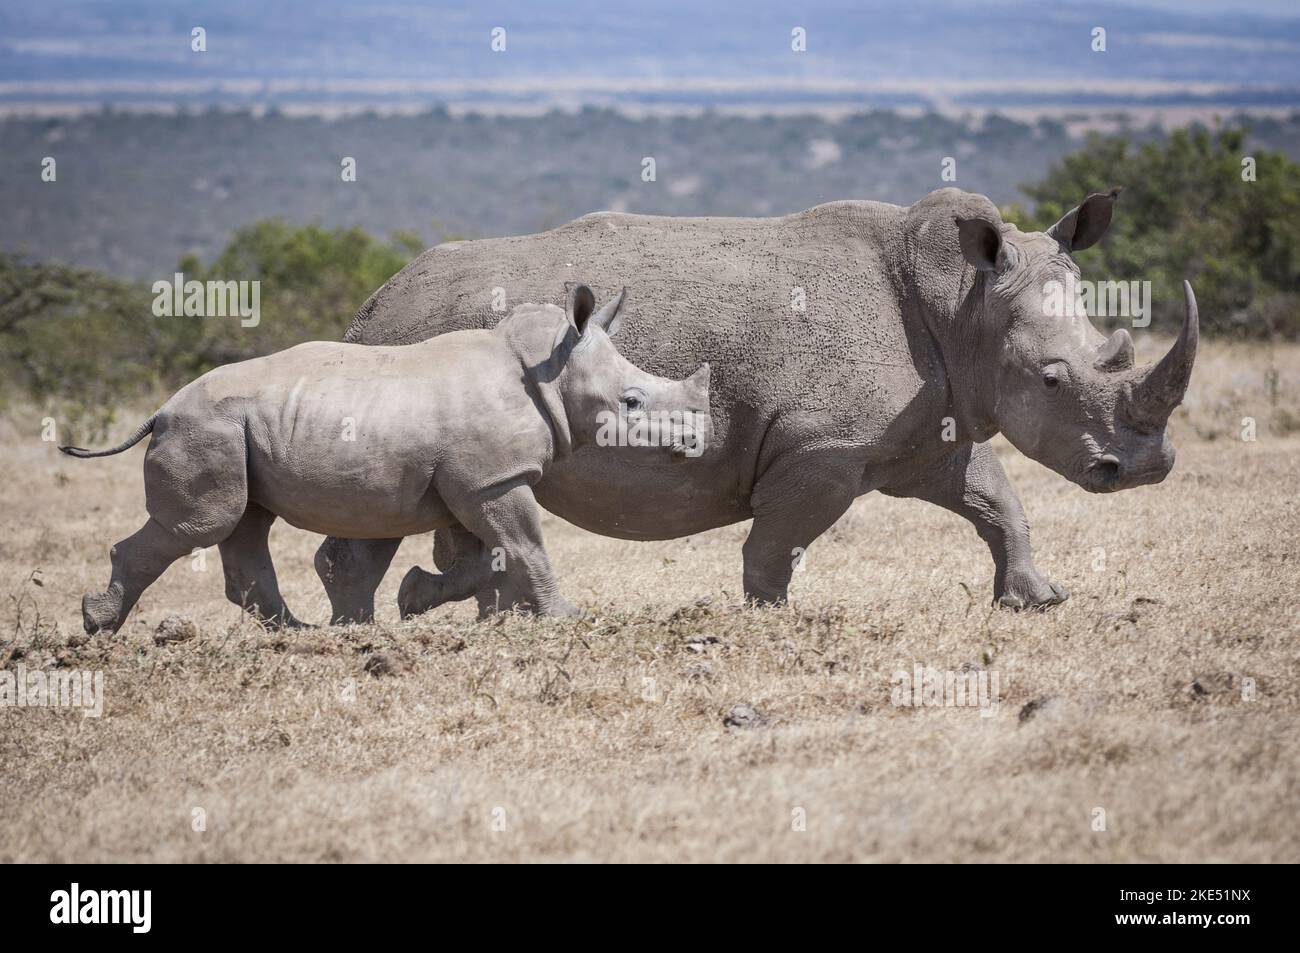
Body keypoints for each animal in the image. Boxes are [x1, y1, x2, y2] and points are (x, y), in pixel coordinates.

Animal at [60, 284, 710, 632]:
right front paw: (566, 617)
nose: (696, 442)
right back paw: (98, 624)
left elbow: (490, 555)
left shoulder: (475, 480)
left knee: (245, 522)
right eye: (631, 402)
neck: (551, 368)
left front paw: (415, 597)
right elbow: (526, 546)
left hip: (232, 429)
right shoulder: (493, 480)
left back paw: (298, 635)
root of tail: (162, 408)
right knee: (205, 523)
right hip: (206, 428)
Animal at [313, 187, 1198, 624]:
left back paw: (445, 611)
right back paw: (368, 627)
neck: (964, 304)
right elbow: (778, 544)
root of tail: (371, 301)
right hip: (407, 343)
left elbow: (996, 497)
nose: (1144, 470)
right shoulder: (824, 449)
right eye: (1052, 380)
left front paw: (1036, 601)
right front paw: (769, 620)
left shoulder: (931, 424)